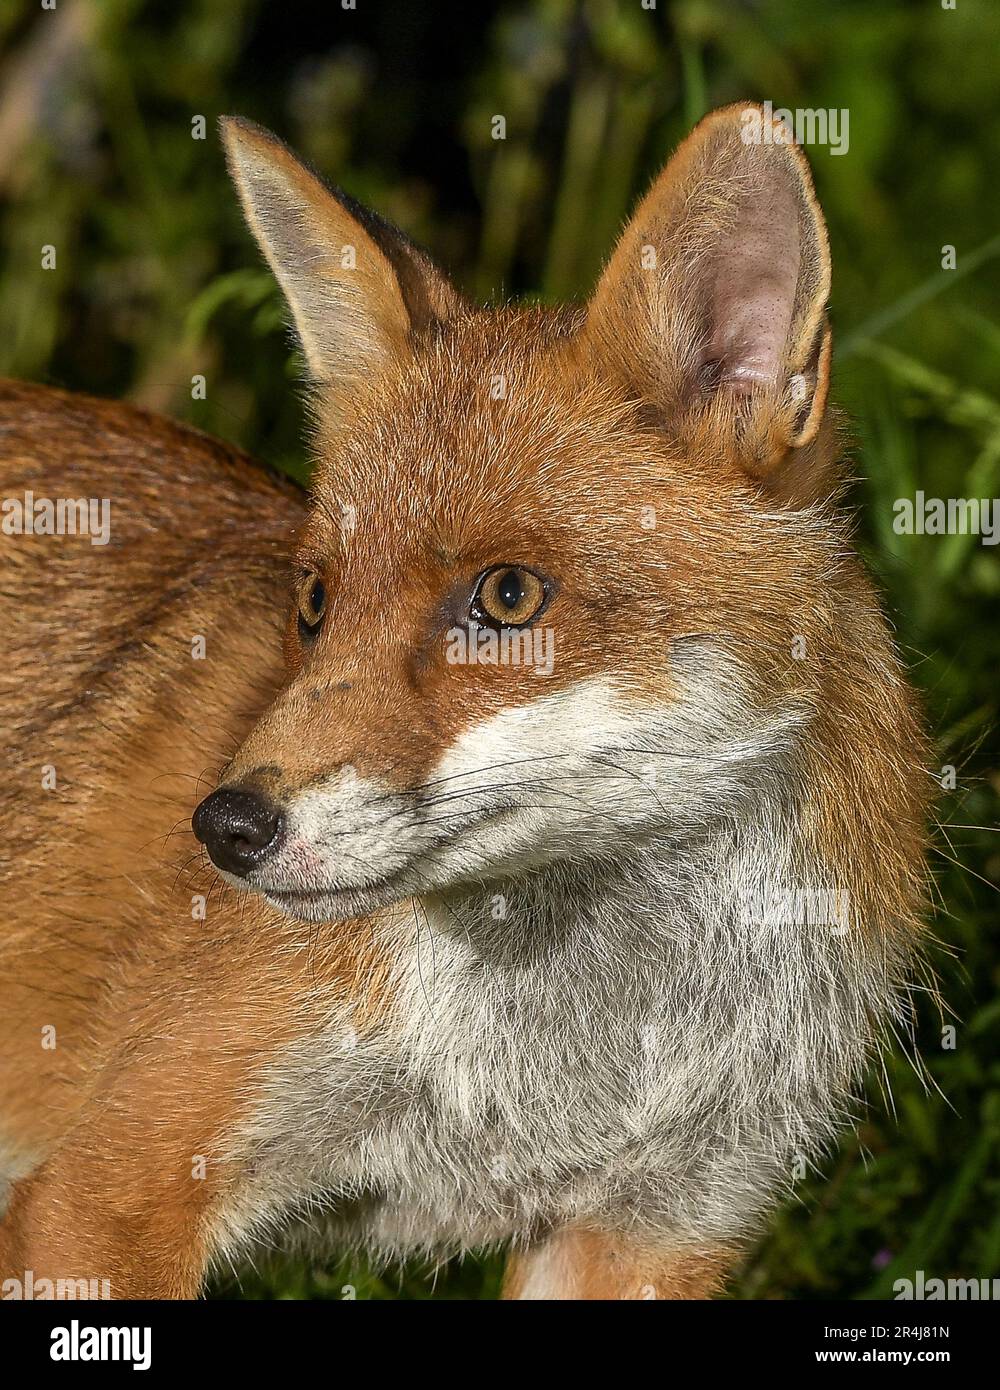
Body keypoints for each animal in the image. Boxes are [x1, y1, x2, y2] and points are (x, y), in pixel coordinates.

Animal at [0, 103, 930, 1300]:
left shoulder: (658, 1222)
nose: (225, 827)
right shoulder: (111, 1186)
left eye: (507, 595)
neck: (583, 1059)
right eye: (315, 600)